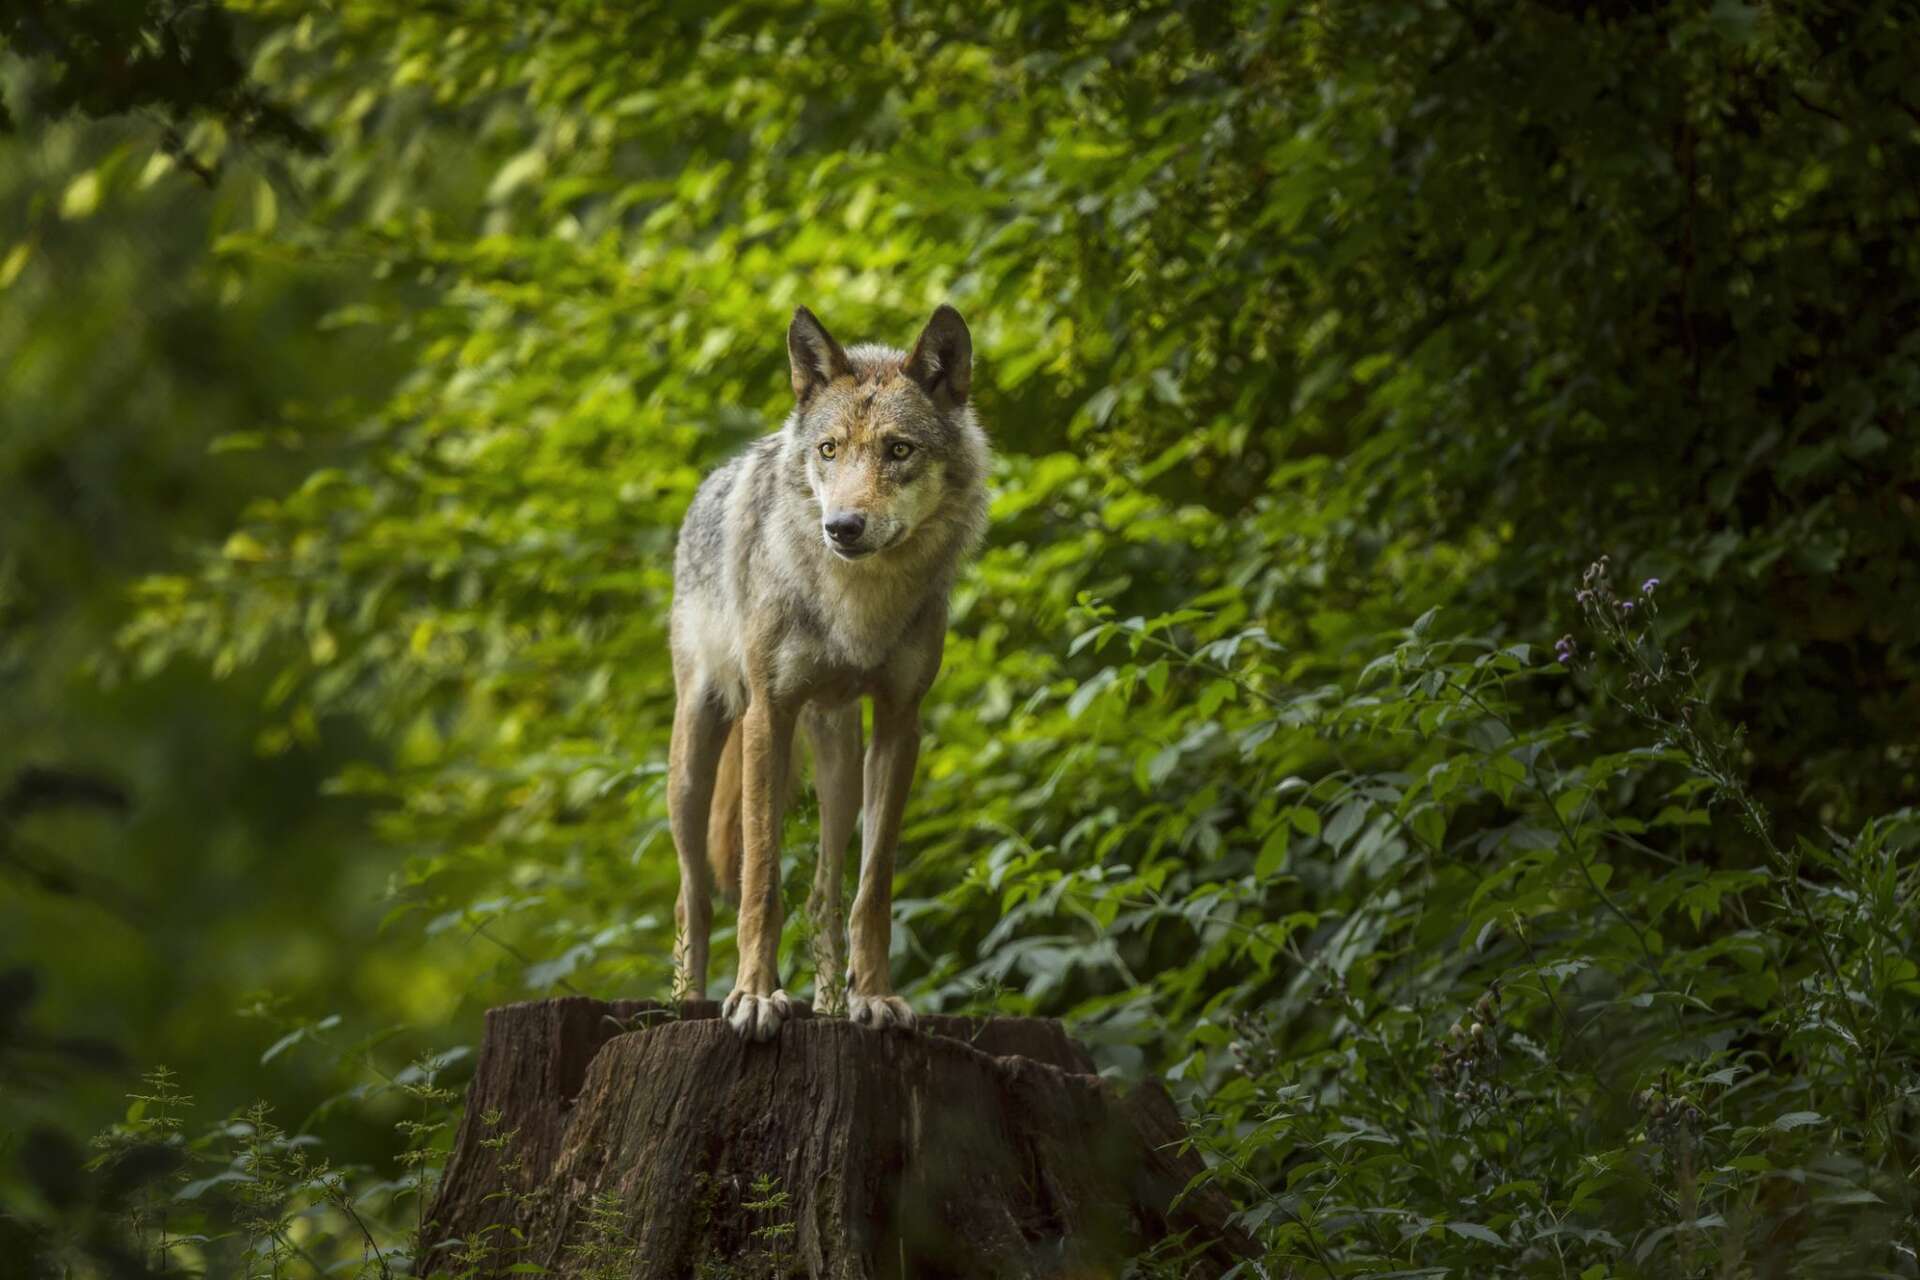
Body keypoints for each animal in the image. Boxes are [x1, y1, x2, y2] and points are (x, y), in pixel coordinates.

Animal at [667, 304, 989, 1041]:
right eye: (830, 450)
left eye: (898, 450)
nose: (842, 526)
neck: (858, 606)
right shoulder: (769, 714)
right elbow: (759, 880)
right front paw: (755, 997)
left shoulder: (900, 725)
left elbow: (872, 890)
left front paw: (875, 998)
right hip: (696, 760)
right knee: (693, 896)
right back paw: (689, 1003)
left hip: (838, 765)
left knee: (822, 894)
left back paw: (830, 1006)